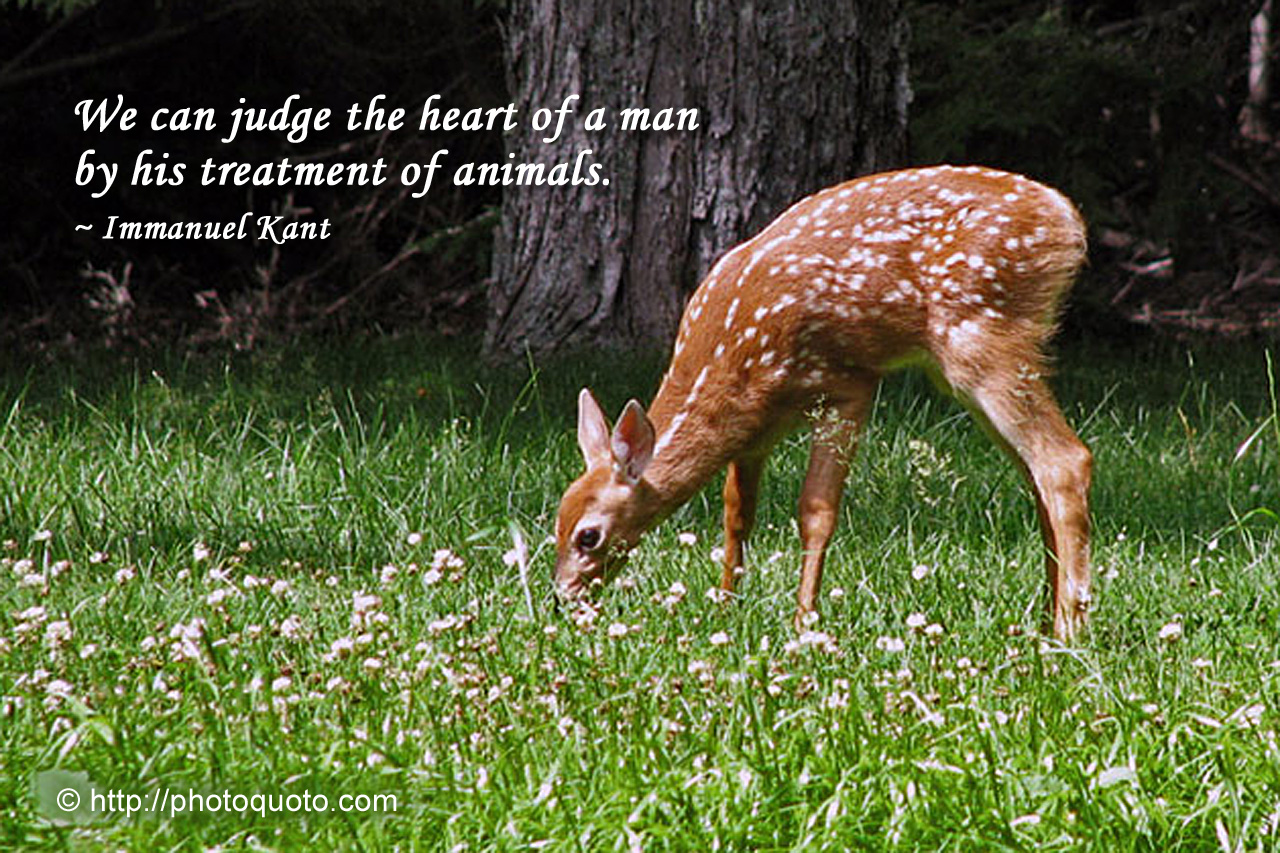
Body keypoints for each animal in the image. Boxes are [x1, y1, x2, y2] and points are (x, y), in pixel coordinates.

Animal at [553, 165, 1093, 641]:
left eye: (588, 535)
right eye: (557, 520)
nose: (563, 599)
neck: (734, 361)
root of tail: (1067, 217)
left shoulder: (847, 384)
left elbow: (816, 511)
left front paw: (803, 623)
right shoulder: (755, 431)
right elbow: (737, 513)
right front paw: (726, 606)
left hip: (983, 335)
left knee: (1065, 460)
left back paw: (1069, 629)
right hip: (968, 366)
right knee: (1035, 473)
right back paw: (1045, 619)